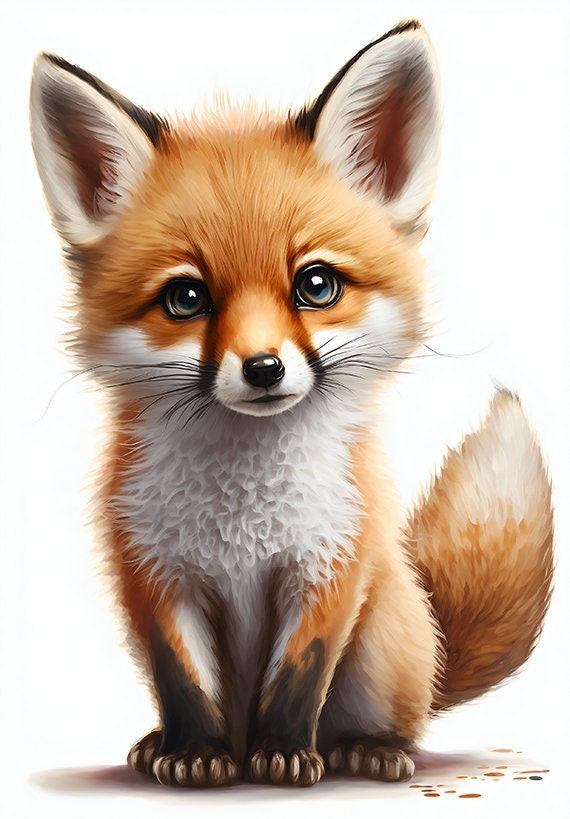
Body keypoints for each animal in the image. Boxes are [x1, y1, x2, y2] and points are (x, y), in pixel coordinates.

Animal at [30, 20, 553, 789]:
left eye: (316, 284)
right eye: (186, 298)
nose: (264, 368)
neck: (243, 517)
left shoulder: (328, 568)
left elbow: (297, 681)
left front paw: (280, 757)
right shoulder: (157, 577)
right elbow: (186, 682)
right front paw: (197, 755)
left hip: (381, 639)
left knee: (386, 717)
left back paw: (366, 747)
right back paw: (161, 745)